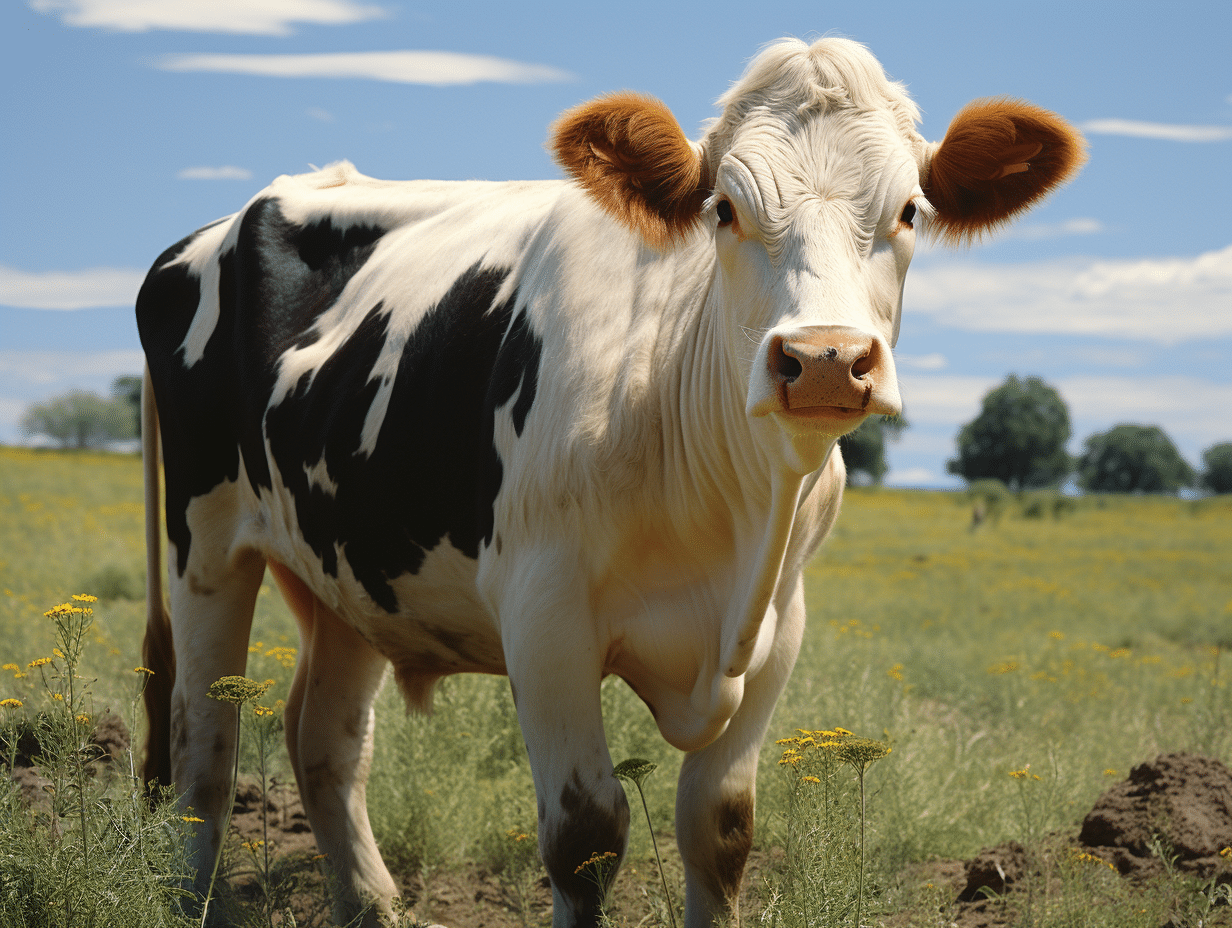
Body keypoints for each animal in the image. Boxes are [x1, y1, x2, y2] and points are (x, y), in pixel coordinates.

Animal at [137, 36, 1084, 928]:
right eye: (724, 209)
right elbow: (585, 837)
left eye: (909, 210)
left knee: (325, 743)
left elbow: (721, 828)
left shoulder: (781, 629)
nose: (823, 360)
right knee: (202, 745)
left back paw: (373, 905)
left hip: (350, 570)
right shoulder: (545, 620)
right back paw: (193, 901)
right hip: (205, 545)